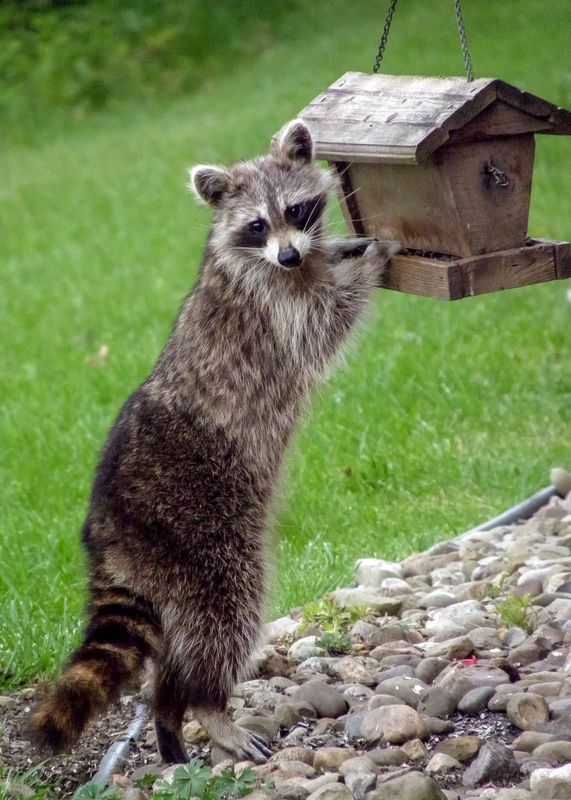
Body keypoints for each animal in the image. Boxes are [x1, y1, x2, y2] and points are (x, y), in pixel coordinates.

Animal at [29, 119, 399, 765]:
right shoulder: (273, 308)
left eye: (295, 210)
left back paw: (168, 711)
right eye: (256, 225)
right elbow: (325, 320)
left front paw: (345, 249)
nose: (289, 253)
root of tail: (106, 530)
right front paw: (368, 265)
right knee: (224, 613)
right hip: (199, 534)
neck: (274, 263)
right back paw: (202, 702)